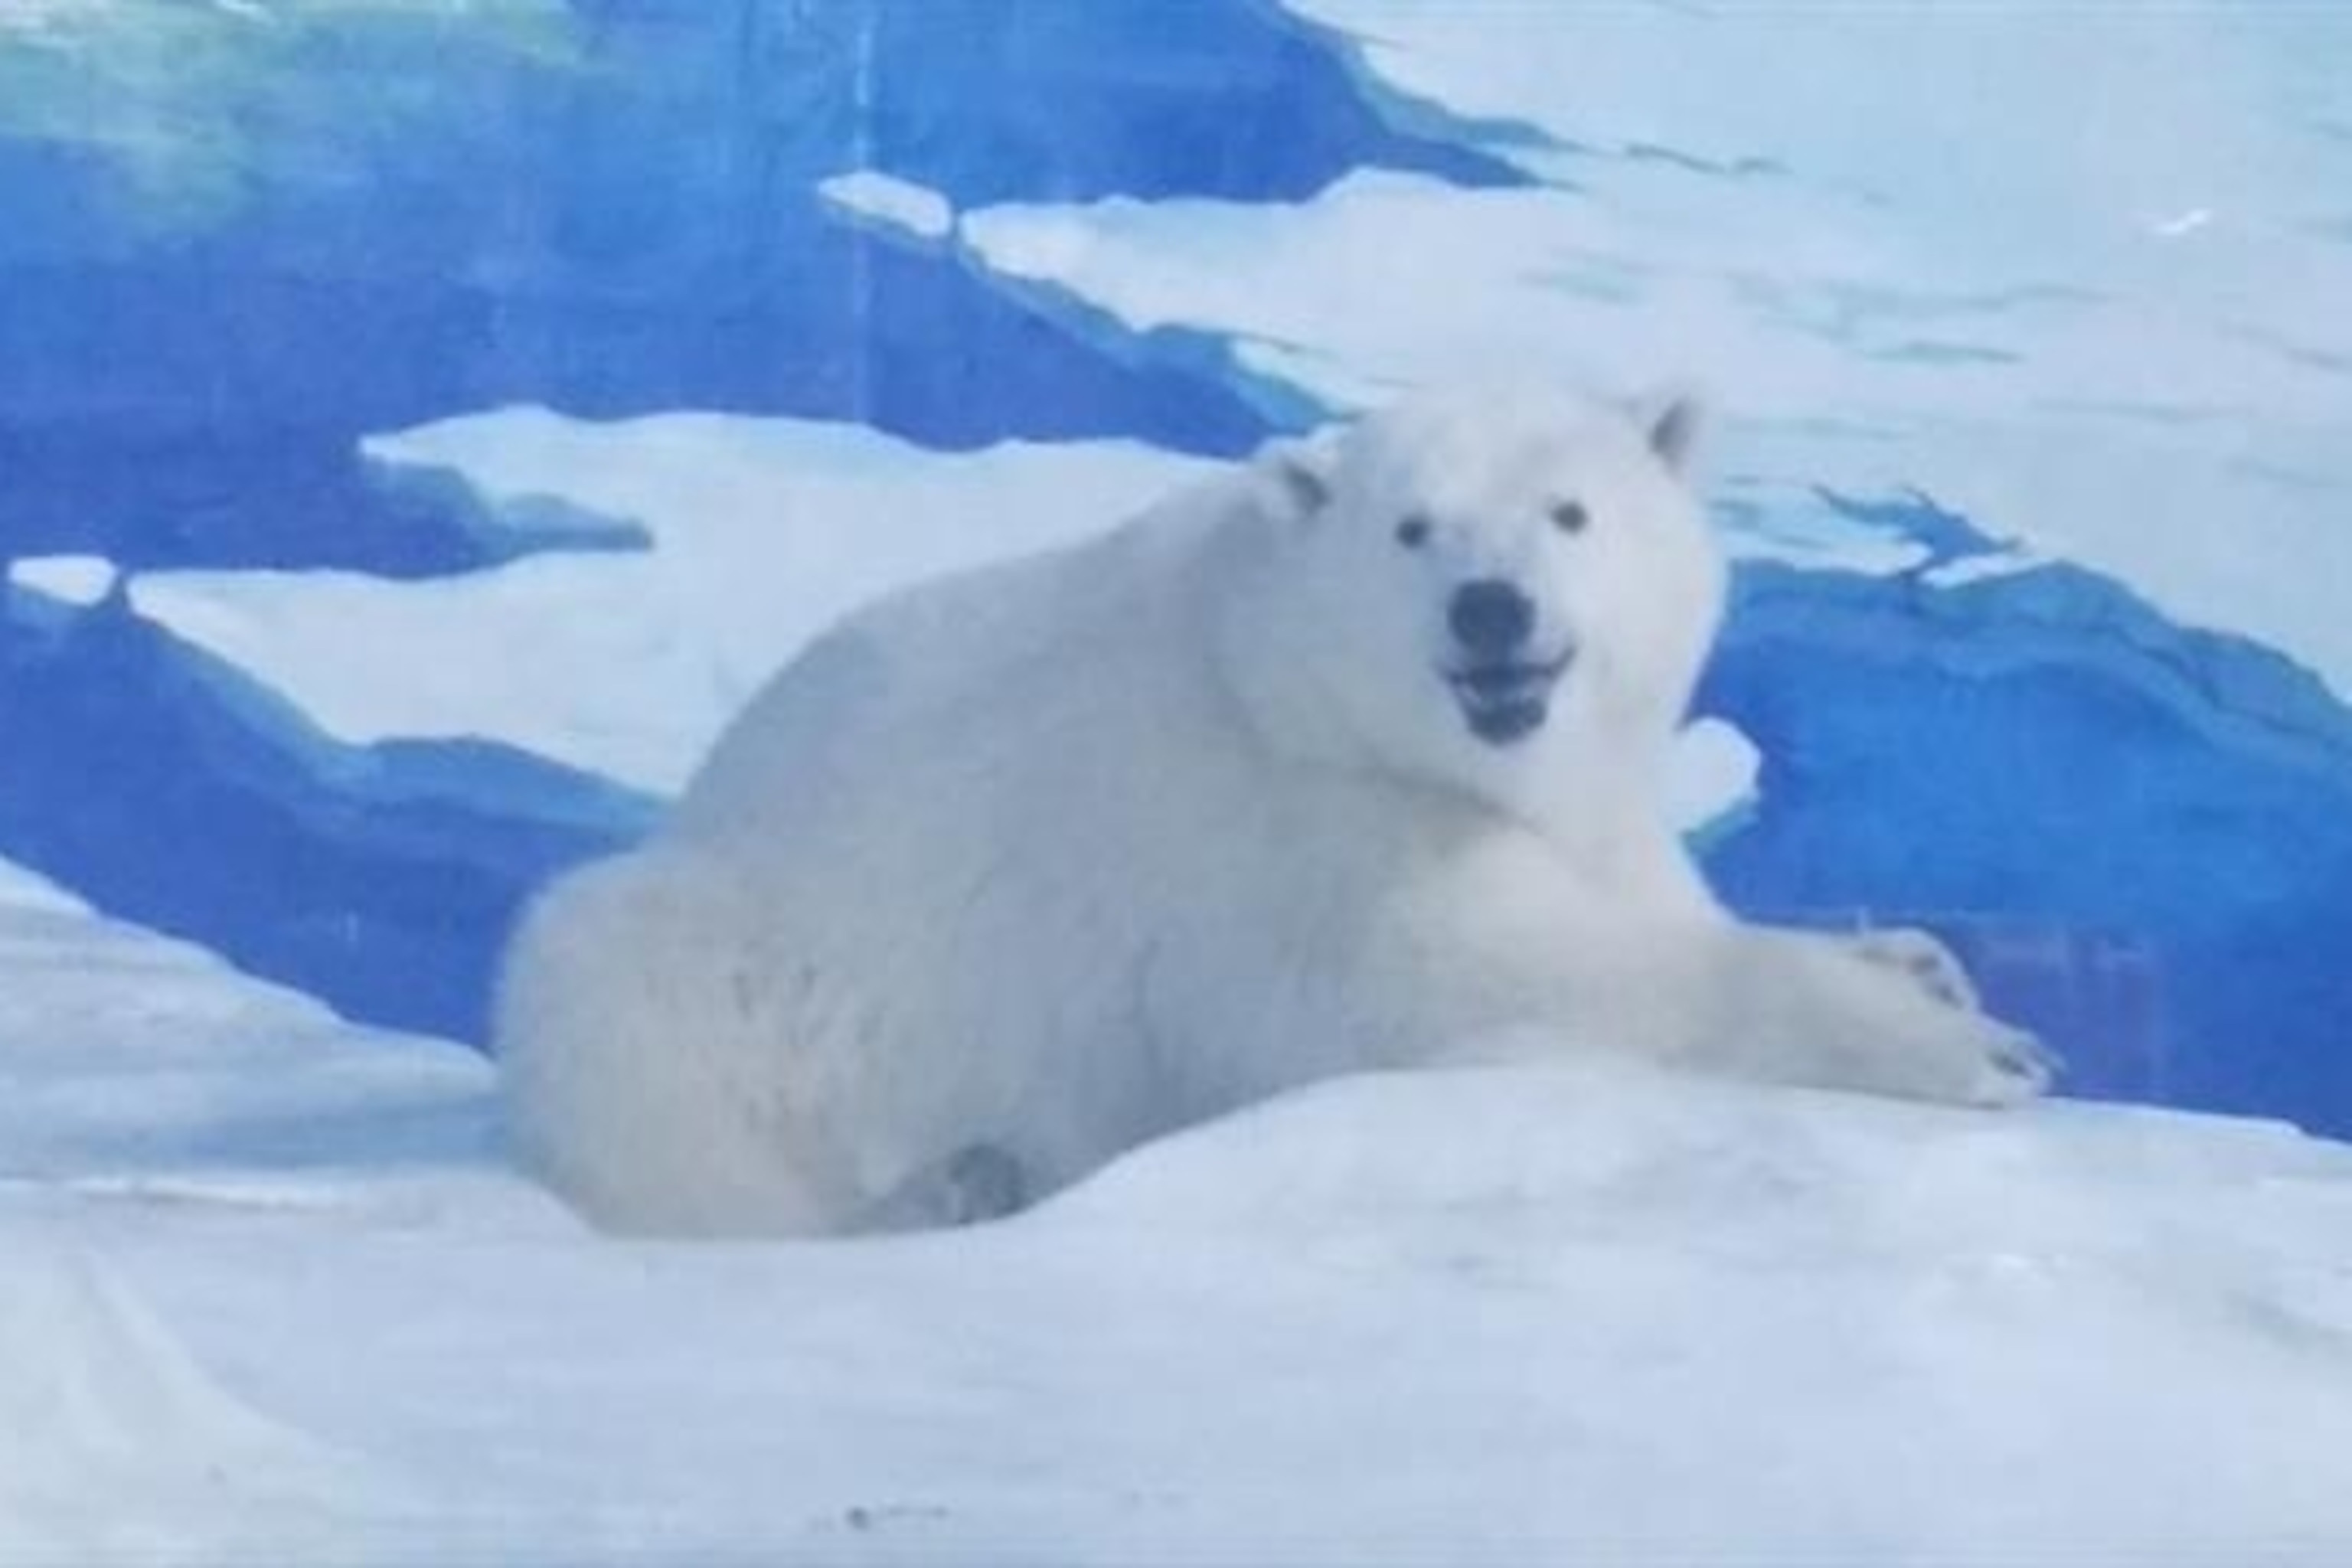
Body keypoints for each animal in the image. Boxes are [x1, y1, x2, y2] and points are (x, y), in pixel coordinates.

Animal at [496, 384, 2051, 1236]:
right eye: (1412, 527)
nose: (1490, 611)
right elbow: (1481, 980)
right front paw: (1975, 1044)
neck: (1272, 666)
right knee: (638, 1043)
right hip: (725, 948)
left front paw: (1920, 957)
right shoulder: (1288, 838)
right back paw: (943, 1185)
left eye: (1570, 511)